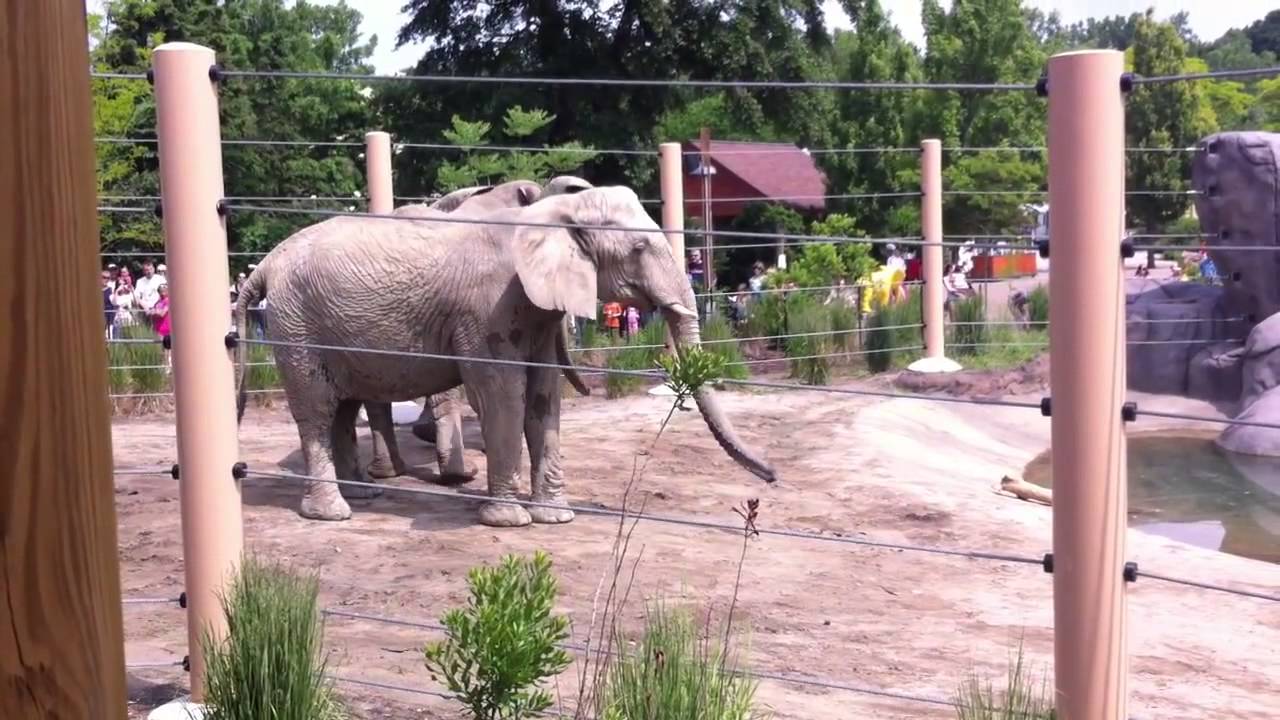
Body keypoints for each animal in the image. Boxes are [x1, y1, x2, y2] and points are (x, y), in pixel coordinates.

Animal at [232, 185, 777, 525]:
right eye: (640, 248)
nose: (772, 479)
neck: (558, 214)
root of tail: (266, 264)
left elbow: (542, 396)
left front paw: (555, 518)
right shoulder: (489, 306)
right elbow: (503, 393)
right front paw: (509, 521)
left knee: (343, 409)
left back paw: (364, 494)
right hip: (296, 326)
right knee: (318, 411)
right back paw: (333, 512)